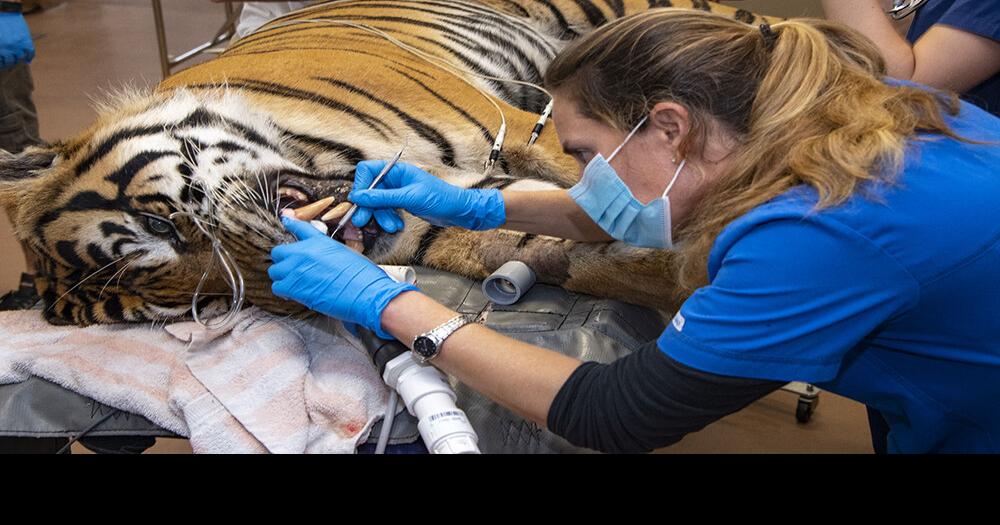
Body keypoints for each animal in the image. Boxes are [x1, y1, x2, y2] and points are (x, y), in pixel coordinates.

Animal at [0, 0, 777, 326]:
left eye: (162, 228)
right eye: (204, 307)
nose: (294, 300)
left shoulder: (534, 128)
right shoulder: (436, 221)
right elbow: (557, 248)